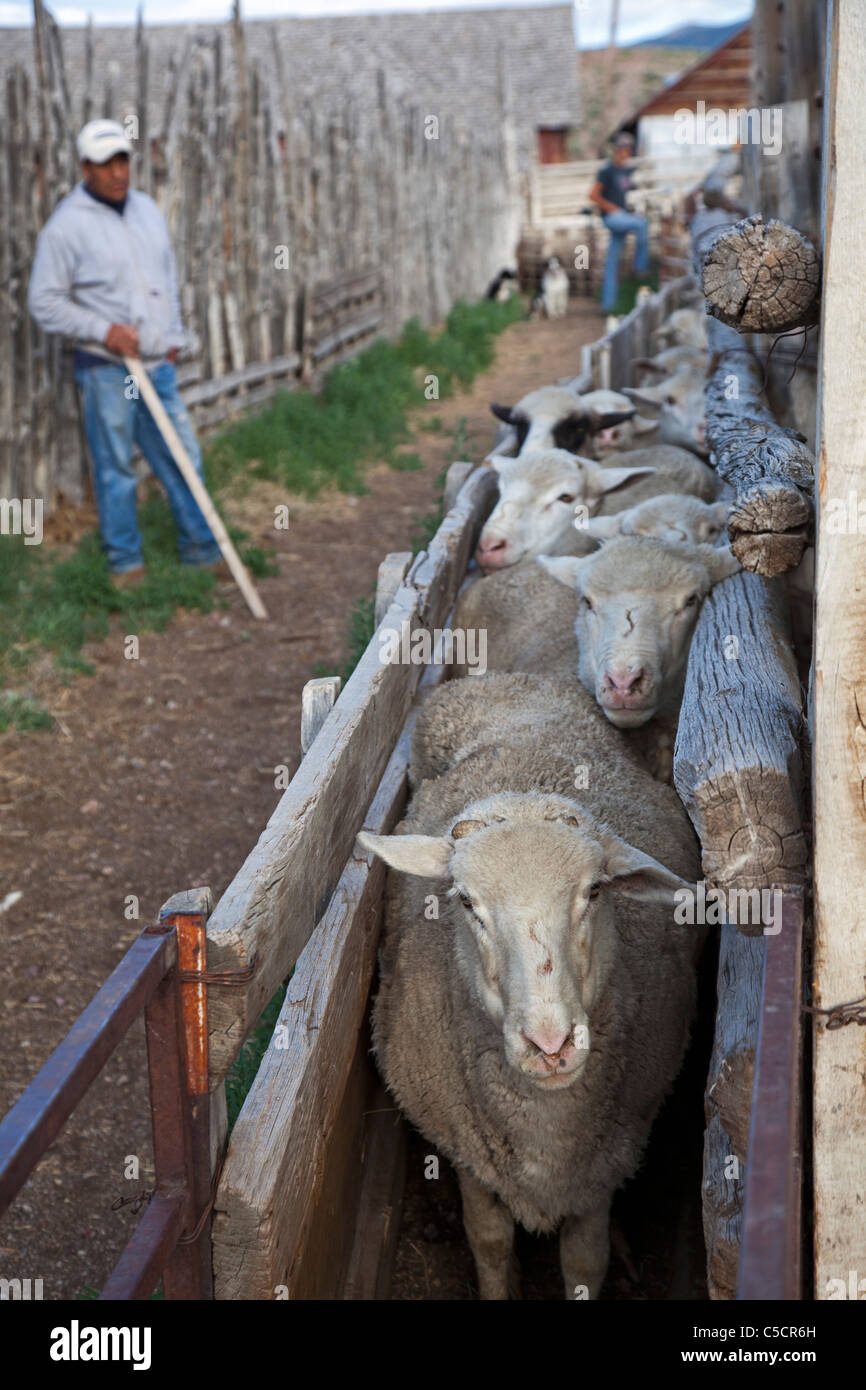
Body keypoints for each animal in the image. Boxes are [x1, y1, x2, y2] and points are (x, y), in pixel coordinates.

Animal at [359, 670, 702, 1299]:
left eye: (596, 890)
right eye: (466, 902)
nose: (550, 1044)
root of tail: (516, 677)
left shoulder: (602, 1166)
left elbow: (585, 1263)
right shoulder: (467, 1150)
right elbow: (490, 1242)